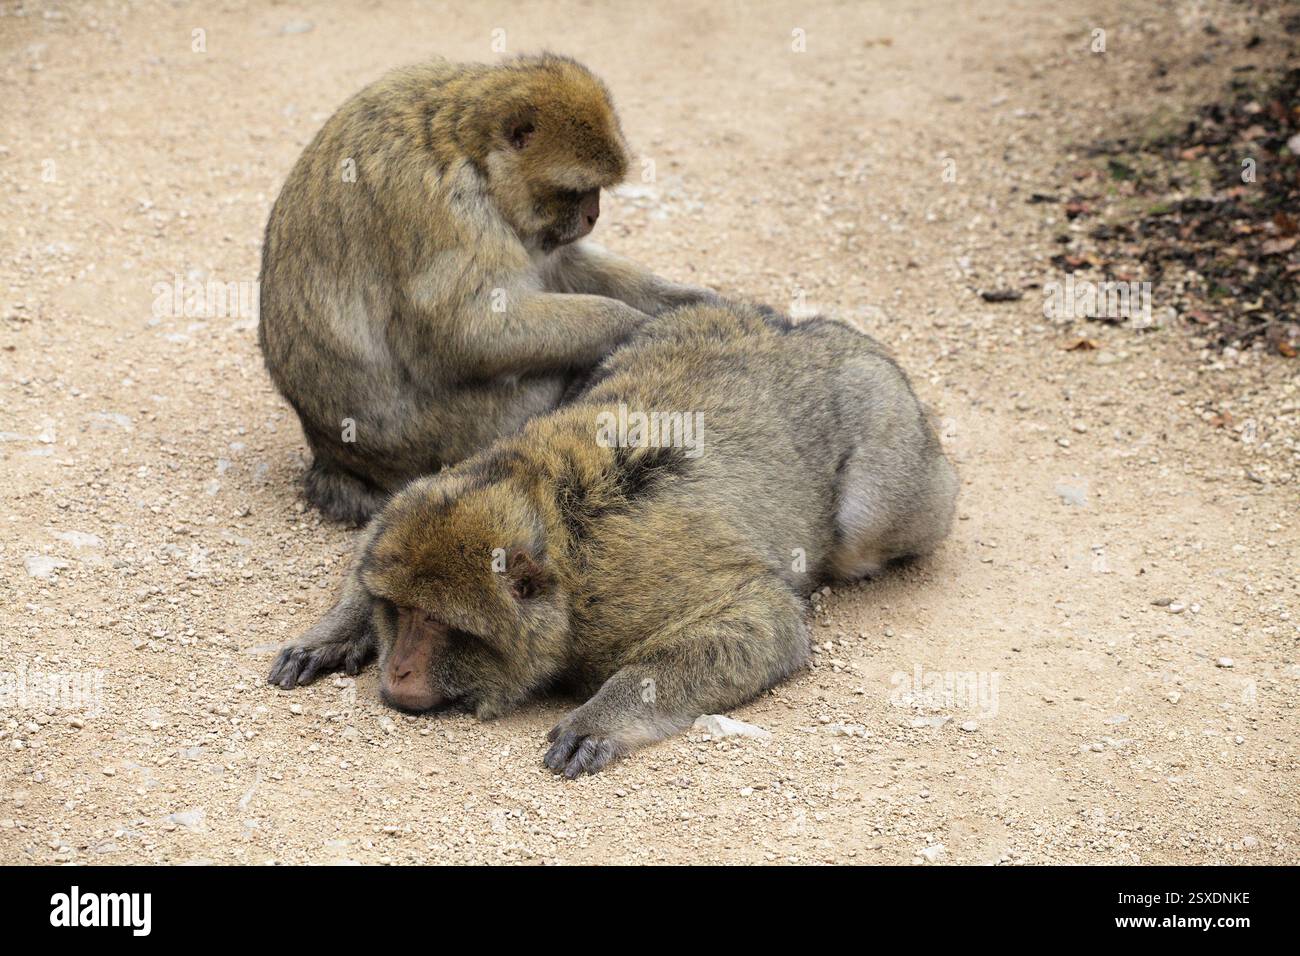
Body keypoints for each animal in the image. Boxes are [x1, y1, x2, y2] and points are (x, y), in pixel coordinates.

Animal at [258, 54, 715, 525]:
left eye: (596, 192)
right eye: (577, 190)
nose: (594, 215)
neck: (467, 145)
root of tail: (332, 456)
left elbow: (561, 265)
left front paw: (688, 301)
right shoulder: (446, 204)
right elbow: (469, 330)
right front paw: (635, 325)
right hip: (452, 432)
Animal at [268, 301, 958, 777]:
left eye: (438, 624)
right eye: (400, 610)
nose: (400, 670)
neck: (566, 549)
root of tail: (799, 329)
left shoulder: (630, 588)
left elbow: (762, 621)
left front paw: (606, 714)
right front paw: (336, 631)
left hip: (898, 453)